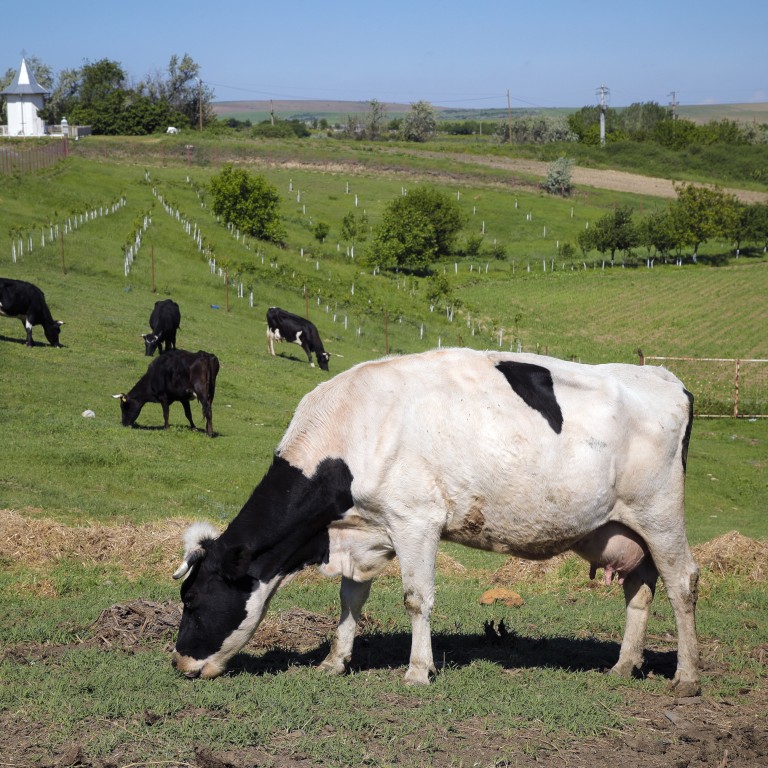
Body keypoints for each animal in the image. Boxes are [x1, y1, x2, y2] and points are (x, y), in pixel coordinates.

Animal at [171, 349, 700, 697]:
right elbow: (350, 598)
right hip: (626, 530)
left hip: (660, 513)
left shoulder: (416, 519)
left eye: (192, 601)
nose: (178, 663)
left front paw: (417, 671)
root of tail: (666, 377)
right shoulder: (365, 531)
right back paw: (624, 665)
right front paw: (334, 661)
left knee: (682, 583)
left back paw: (687, 677)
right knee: (640, 591)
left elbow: (416, 598)